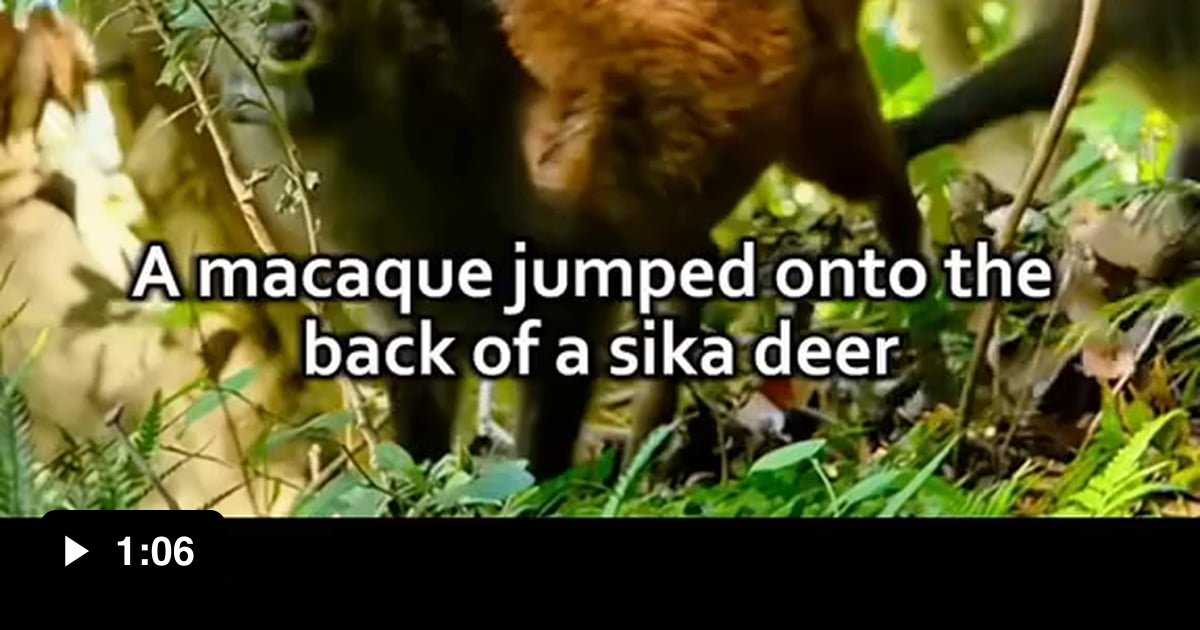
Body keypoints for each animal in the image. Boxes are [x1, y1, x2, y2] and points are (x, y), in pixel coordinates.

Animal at [220, 0, 944, 481]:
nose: (285, 24)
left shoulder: (579, 270)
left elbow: (539, 455)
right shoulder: (400, 318)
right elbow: (418, 452)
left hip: (824, 104)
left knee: (894, 182)